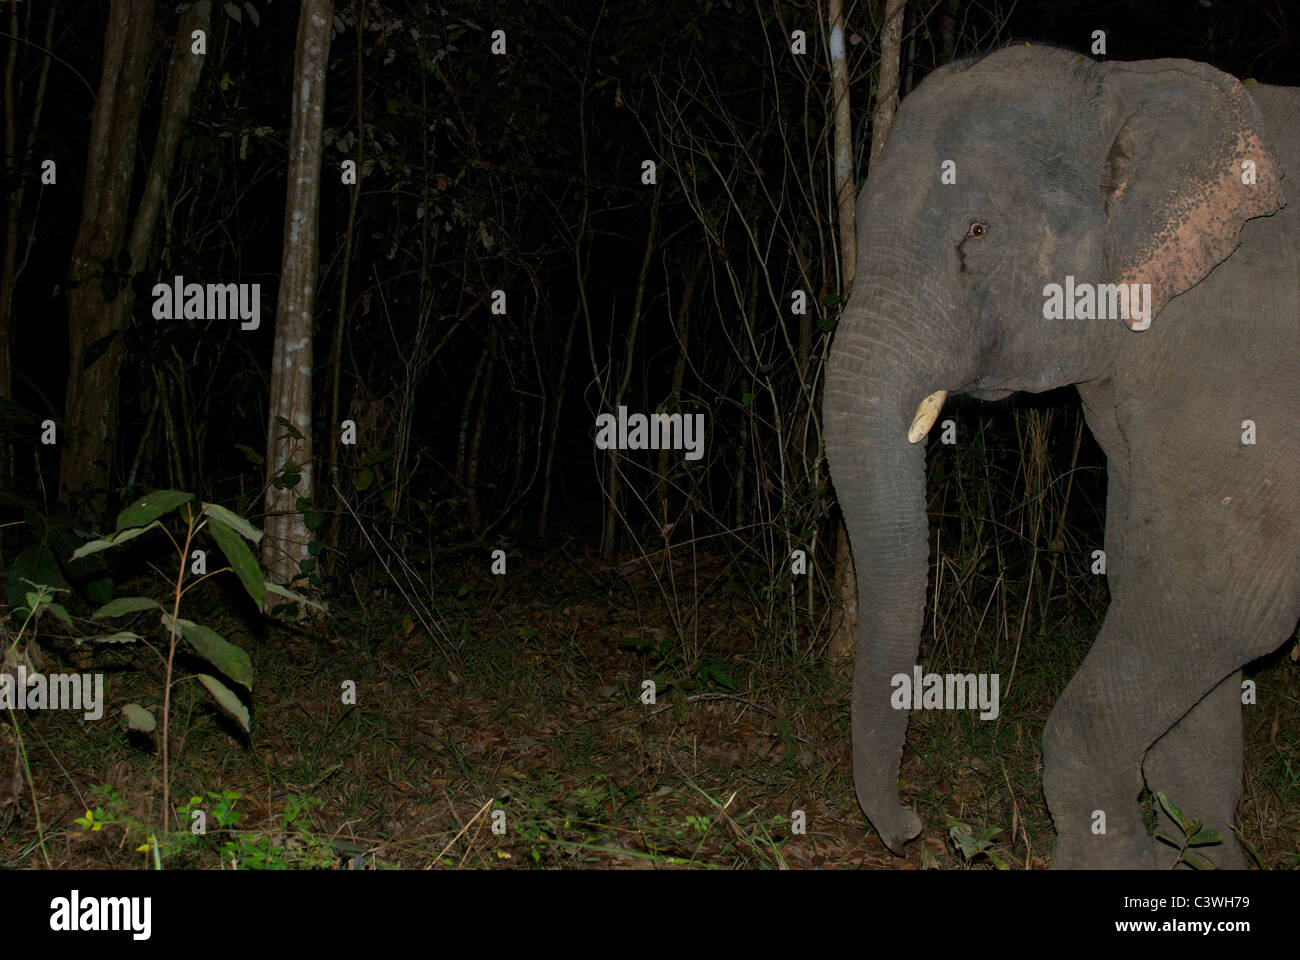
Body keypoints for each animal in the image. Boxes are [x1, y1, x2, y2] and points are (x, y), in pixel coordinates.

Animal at [823, 45, 1299, 869]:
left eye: (978, 230)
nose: (909, 826)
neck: (1129, 83)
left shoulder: (1246, 354)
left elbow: (1221, 591)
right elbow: (1150, 578)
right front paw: (1197, 854)